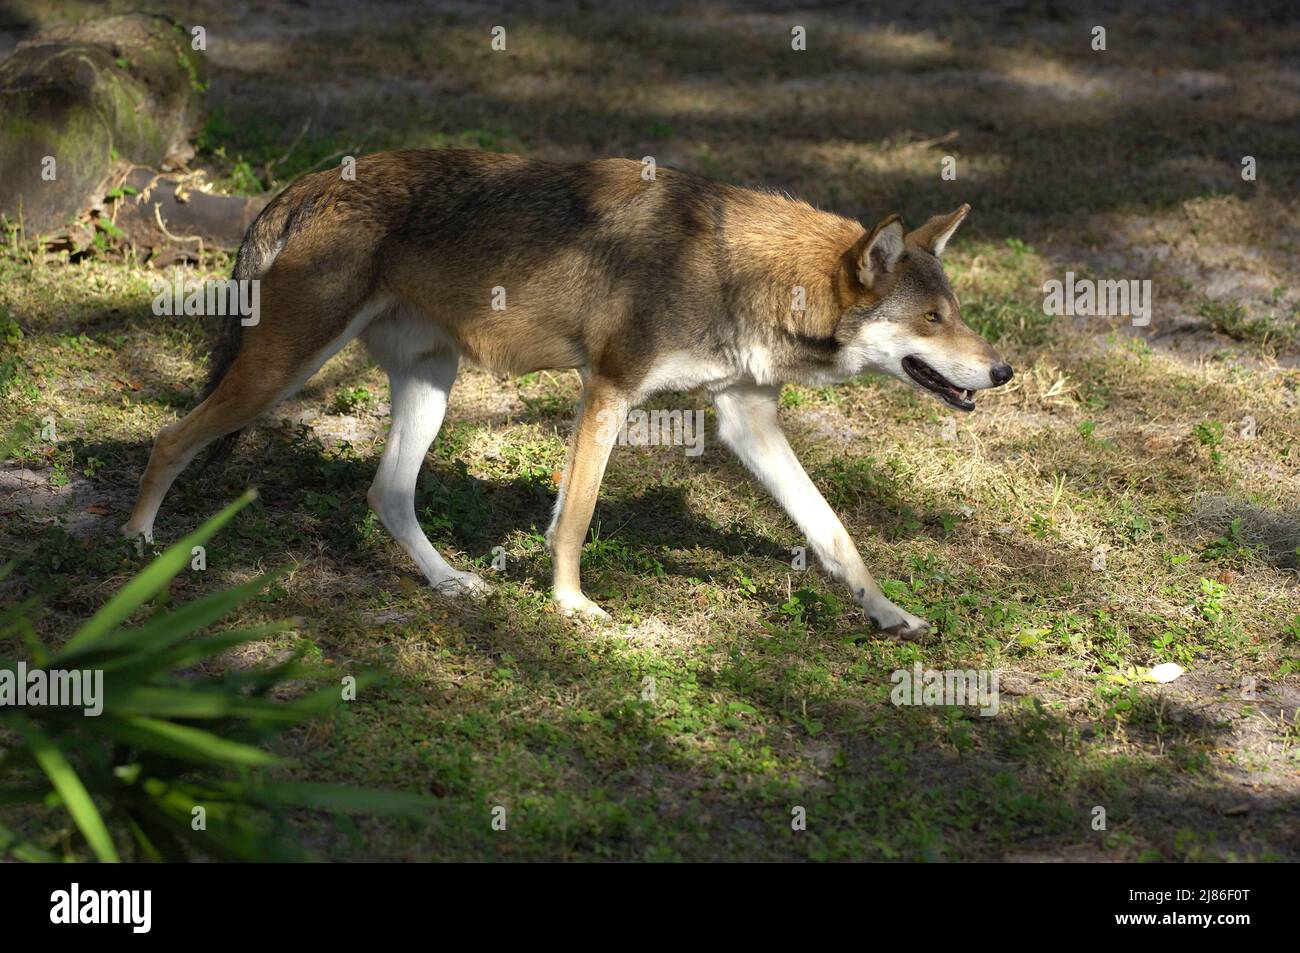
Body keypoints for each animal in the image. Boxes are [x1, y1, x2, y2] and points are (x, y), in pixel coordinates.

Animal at [123, 150, 1013, 638]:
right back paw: (135, 546)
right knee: (169, 438)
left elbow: (834, 534)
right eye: (933, 319)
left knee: (386, 494)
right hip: (281, 372)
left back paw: (450, 583)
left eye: (957, 313)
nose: (1003, 371)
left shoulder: (746, 418)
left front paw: (890, 615)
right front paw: (571, 606)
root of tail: (308, 181)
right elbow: (576, 518)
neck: (737, 266)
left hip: (428, 389)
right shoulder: (609, 390)